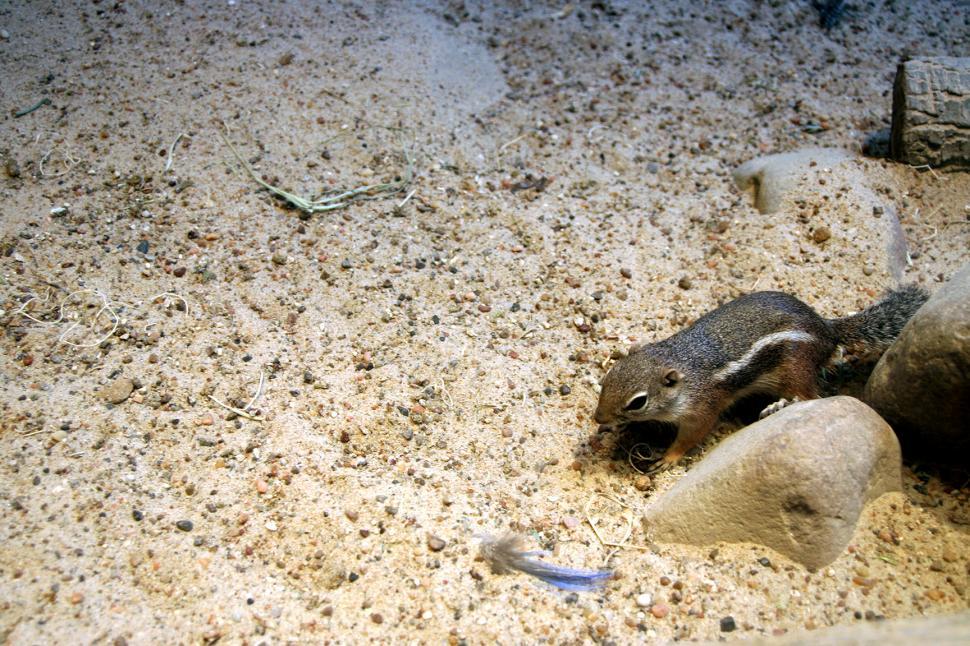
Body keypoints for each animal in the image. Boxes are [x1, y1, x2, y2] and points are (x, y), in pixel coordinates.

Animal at [594, 285, 928, 472]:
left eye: (638, 402)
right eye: (606, 380)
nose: (598, 418)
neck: (680, 363)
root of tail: (827, 329)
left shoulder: (702, 408)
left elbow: (693, 434)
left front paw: (669, 457)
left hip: (794, 366)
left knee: (810, 395)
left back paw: (779, 405)